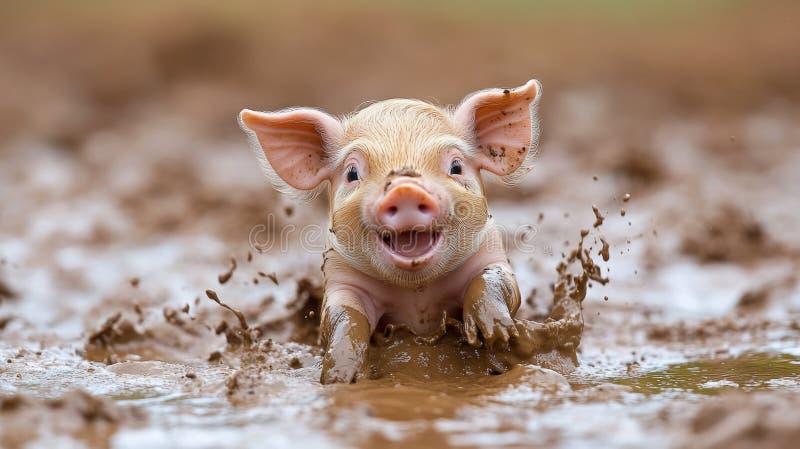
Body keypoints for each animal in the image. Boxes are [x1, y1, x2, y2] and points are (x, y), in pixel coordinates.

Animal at [239, 79, 541, 383]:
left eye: (456, 166)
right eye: (352, 173)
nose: (405, 189)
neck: (417, 292)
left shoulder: (489, 251)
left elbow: (496, 281)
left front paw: (496, 335)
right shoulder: (341, 276)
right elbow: (344, 316)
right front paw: (341, 376)